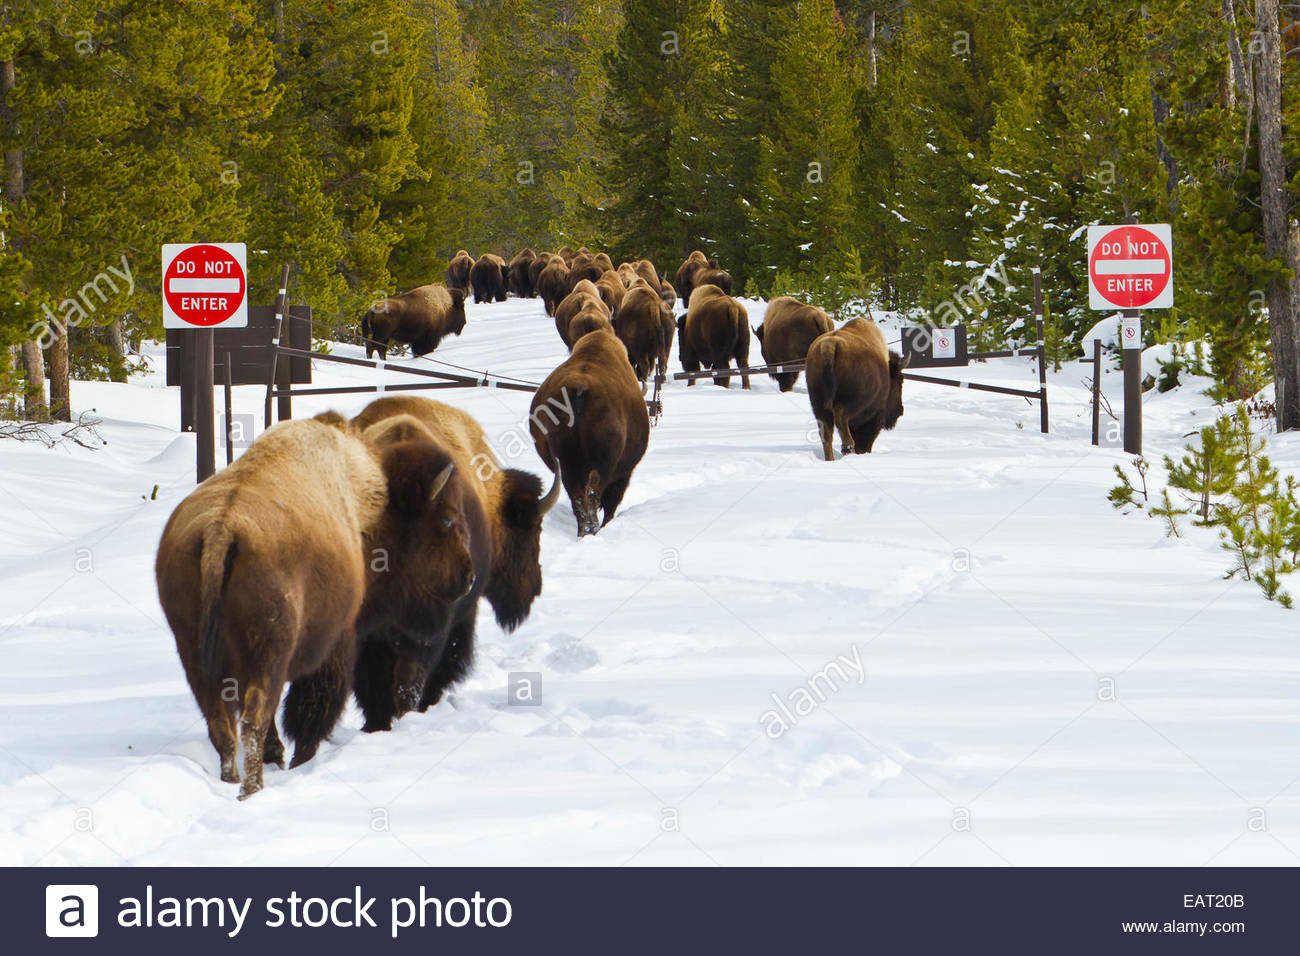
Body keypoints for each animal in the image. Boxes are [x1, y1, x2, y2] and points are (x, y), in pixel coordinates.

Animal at [805, 318, 907, 461]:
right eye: (900, 381)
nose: (900, 411)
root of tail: (829, 345)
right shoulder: (874, 415)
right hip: (852, 405)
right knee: (841, 421)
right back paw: (848, 448)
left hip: (818, 405)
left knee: (826, 436)